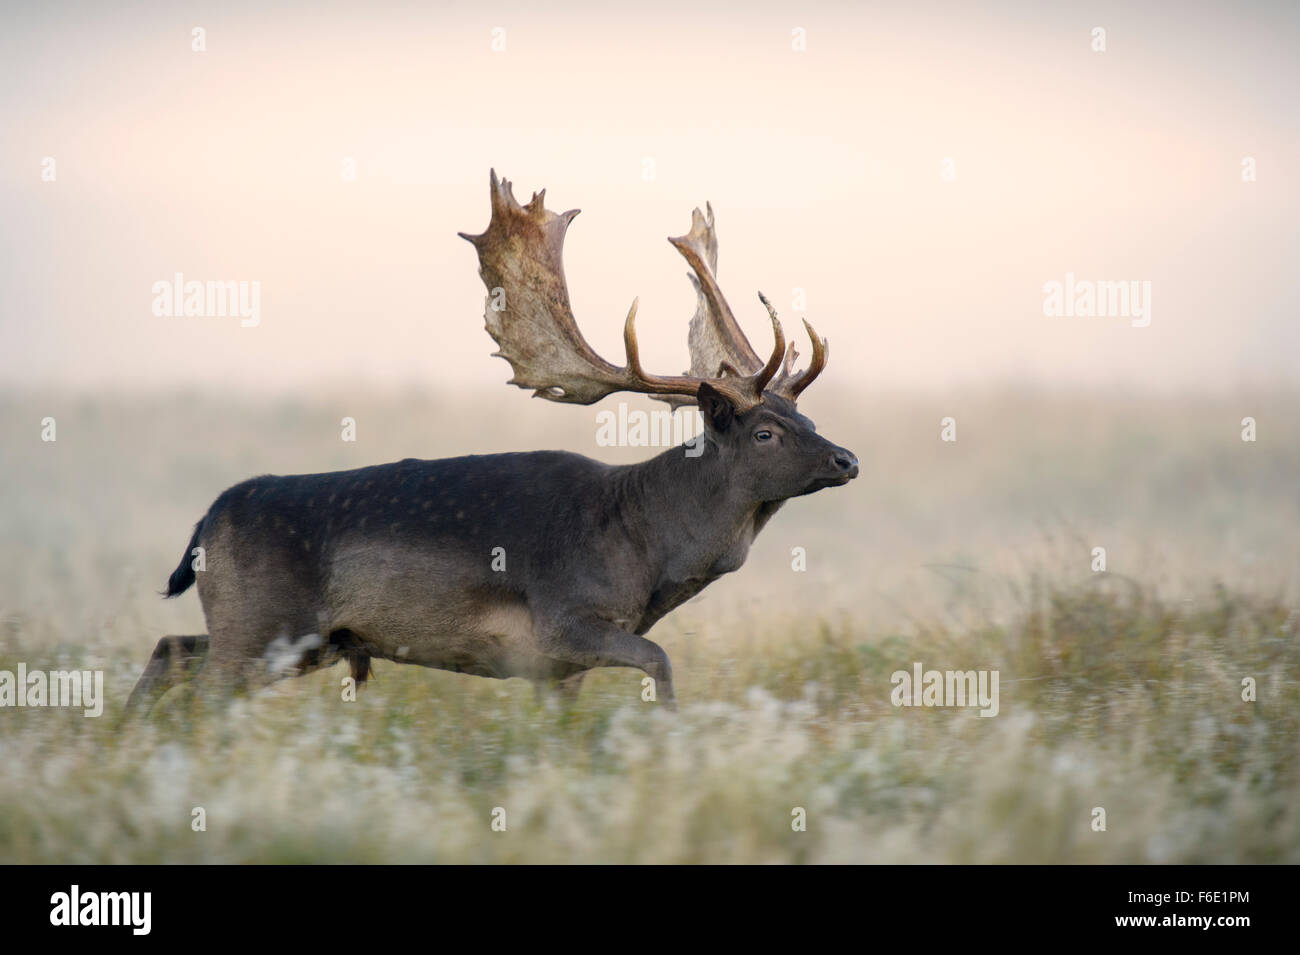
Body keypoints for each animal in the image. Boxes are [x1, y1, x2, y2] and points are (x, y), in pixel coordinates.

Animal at [125, 170, 858, 716]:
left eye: (803, 414)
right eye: (765, 431)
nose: (847, 458)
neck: (643, 552)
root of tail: (203, 525)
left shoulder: (561, 669)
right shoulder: (564, 619)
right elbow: (663, 663)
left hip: (292, 640)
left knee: (170, 647)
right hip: (261, 627)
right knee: (198, 680)